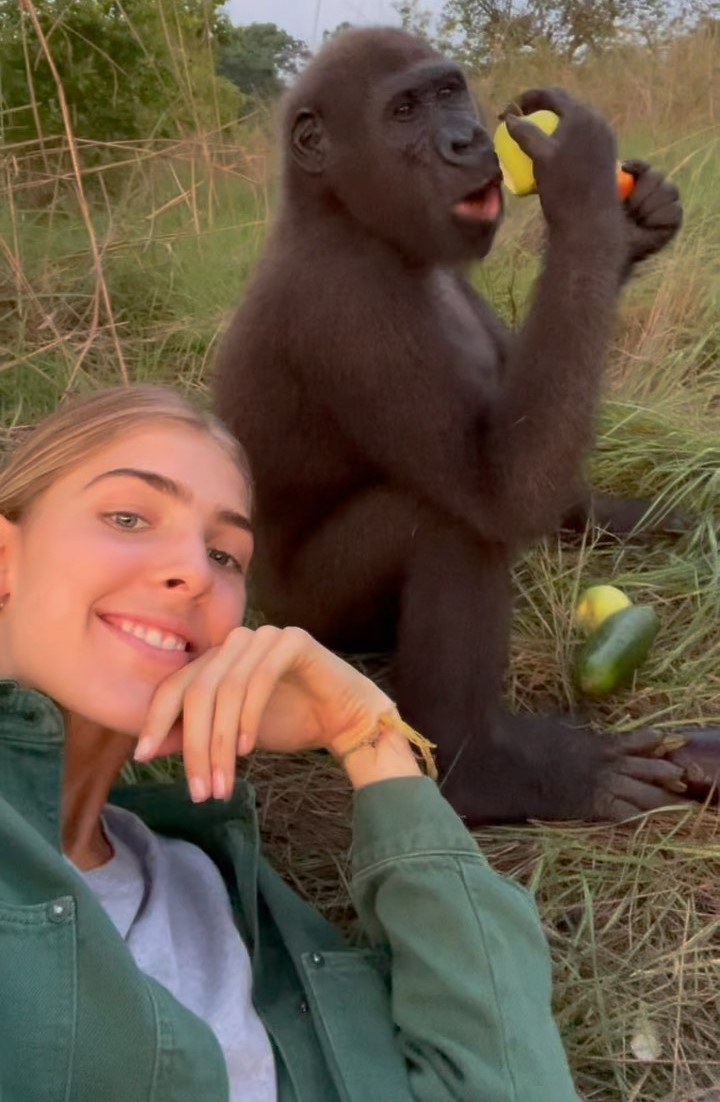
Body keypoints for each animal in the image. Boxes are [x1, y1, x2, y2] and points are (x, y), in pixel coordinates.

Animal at [214, 27, 717, 824]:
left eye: (451, 93)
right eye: (405, 110)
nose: (467, 140)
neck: (344, 216)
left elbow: (539, 426)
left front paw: (630, 227)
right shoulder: (349, 307)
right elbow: (499, 489)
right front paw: (581, 182)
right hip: (314, 631)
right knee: (442, 524)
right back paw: (484, 768)